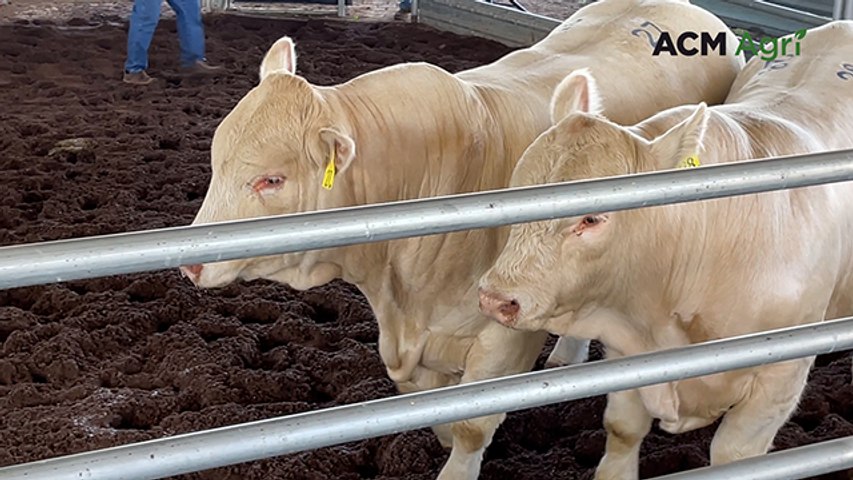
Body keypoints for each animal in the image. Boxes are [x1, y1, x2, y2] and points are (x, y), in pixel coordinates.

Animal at [179, 1, 744, 477]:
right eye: (216, 158)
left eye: (271, 180)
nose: (191, 263)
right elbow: (435, 408)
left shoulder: (507, 327)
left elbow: (473, 423)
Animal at [478, 20, 853, 480]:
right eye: (518, 190)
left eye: (592, 219)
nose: (496, 299)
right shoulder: (626, 350)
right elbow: (622, 430)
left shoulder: (779, 377)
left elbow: (735, 454)